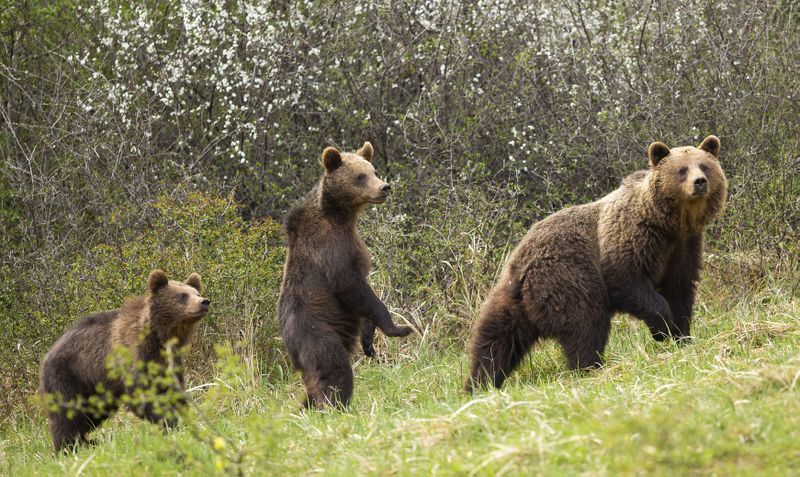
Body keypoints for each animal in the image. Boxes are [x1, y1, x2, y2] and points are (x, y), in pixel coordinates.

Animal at [39, 269, 210, 451]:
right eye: (182, 295)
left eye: (197, 293)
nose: (204, 302)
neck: (159, 338)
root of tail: (47, 354)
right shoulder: (134, 356)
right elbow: (142, 395)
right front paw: (170, 422)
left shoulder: (167, 362)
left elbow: (172, 390)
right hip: (68, 376)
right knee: (66, 414)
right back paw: (67, 446)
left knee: (91, 412)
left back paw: (87, 441)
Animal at [278, 141, 413, 409]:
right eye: (360, 176)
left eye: (373, 170)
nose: (384, 187)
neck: (342, 214)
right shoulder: (330, 246)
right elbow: (351, 285)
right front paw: (399, 328)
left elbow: (363, 296)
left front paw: (369, 341)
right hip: (315, 332)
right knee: (333, 368)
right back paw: (333, 405)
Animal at [466, 135, 727, 391]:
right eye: (682, 170)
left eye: (704, 165)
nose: (700, 182)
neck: (669, 224)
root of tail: (522, 266)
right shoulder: (630, 236)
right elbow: (626, 280)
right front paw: (663, 328)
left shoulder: (684, 248)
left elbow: (680, 290)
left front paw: (682, 336)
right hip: (567, 278)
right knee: (586, 324)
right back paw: (591, 368)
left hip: (509, 298)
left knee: (495, 339)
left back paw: (479, 382)